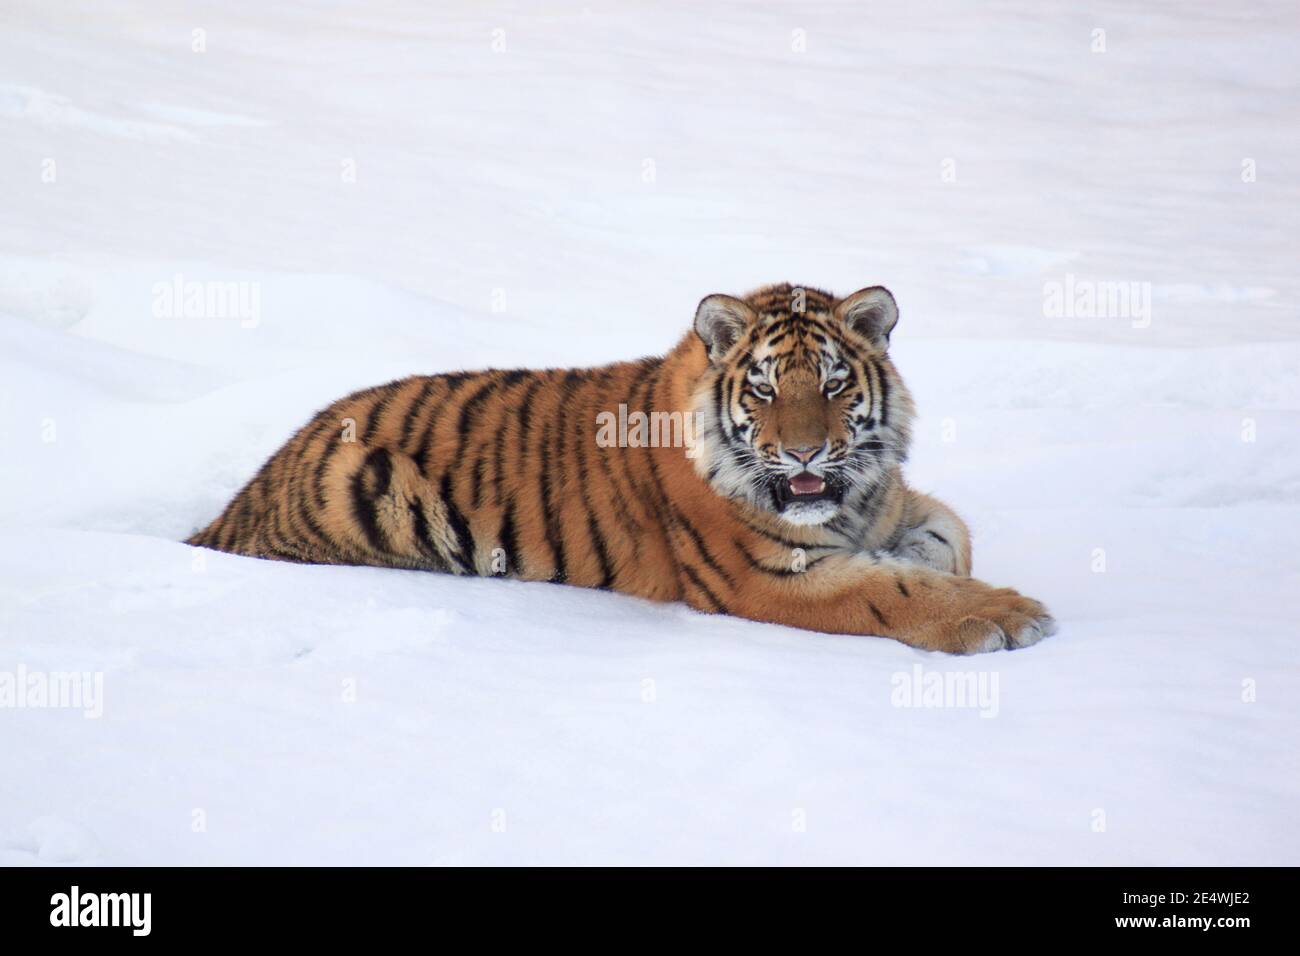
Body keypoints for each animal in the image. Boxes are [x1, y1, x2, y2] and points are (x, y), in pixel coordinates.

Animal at [188, 283, 1055, 654]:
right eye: (767, 388)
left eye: (836, 384)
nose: (807, 451)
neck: (846, 503)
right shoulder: (760, 576)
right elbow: (889, 594)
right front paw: (1008, 615)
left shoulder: (890, 501)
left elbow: (948, 537)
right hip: (365, 484)